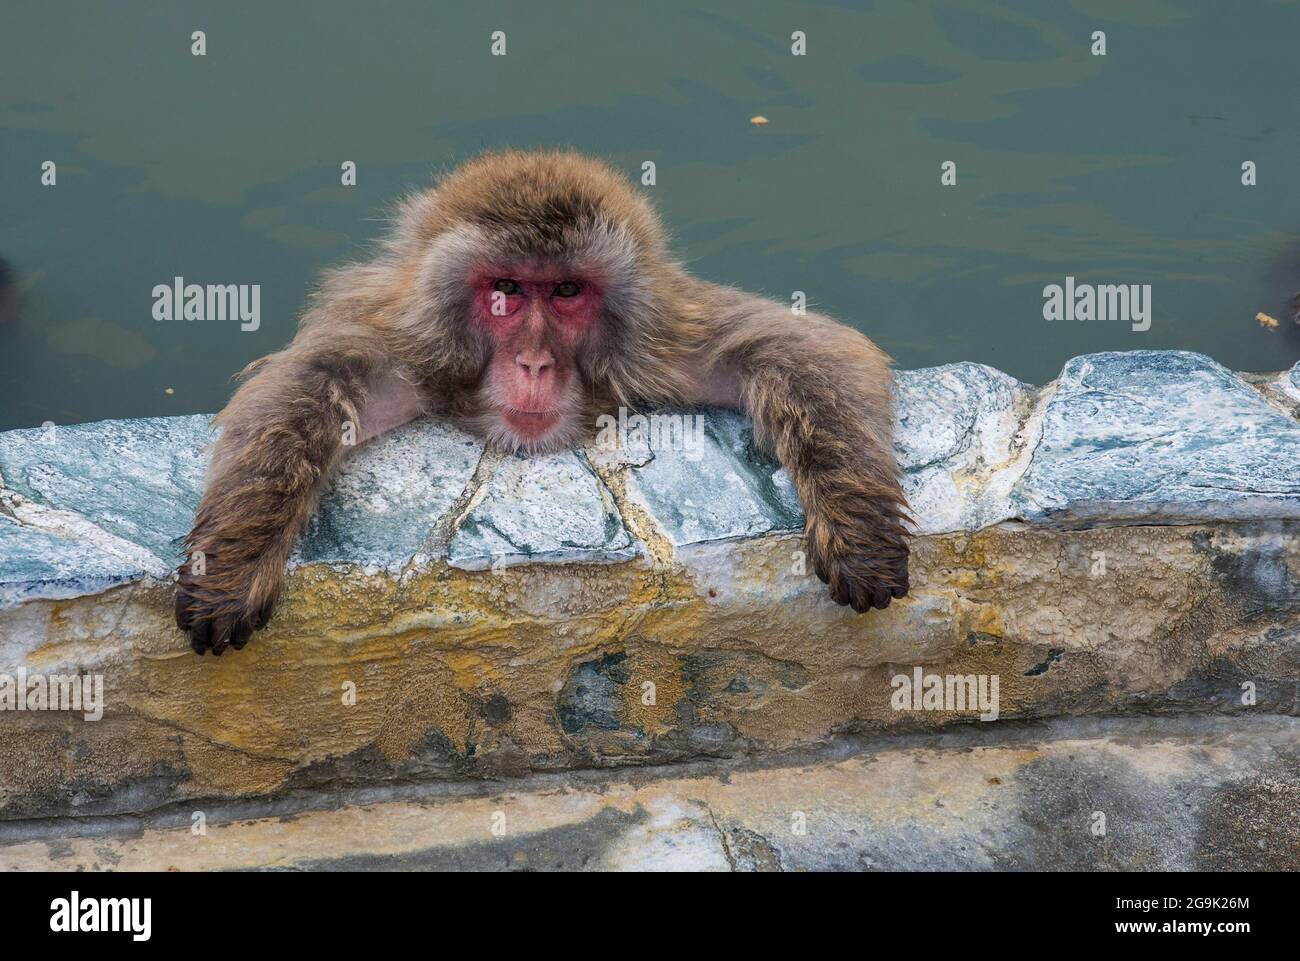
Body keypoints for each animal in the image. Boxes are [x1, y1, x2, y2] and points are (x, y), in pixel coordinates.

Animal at [176, 150, 910, 655]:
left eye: (564, 292)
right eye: (505, 289)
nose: (533, 362)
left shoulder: (659, 344)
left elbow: (797, 348)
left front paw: (860, 533)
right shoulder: (411, 353)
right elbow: (310, 384)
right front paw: (232, 566)